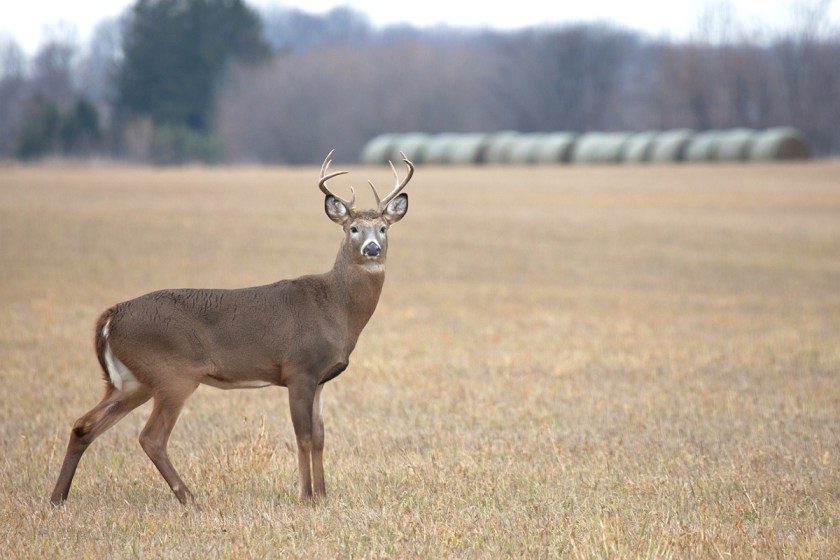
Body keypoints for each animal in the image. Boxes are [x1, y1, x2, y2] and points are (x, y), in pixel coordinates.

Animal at [50, 150, 413, 506]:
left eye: (383, 228)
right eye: (353, 228)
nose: (372, 248)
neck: (334, 307)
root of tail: (112, 316)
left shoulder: (321, 379)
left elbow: (321, 436)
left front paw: (323, 495)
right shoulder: (298, 369)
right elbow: (304, 436)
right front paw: (306, 497)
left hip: (131, 380)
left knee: (84, 425)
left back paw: (58, 498)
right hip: (172, 375)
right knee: (151, 437)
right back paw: (190, 499)